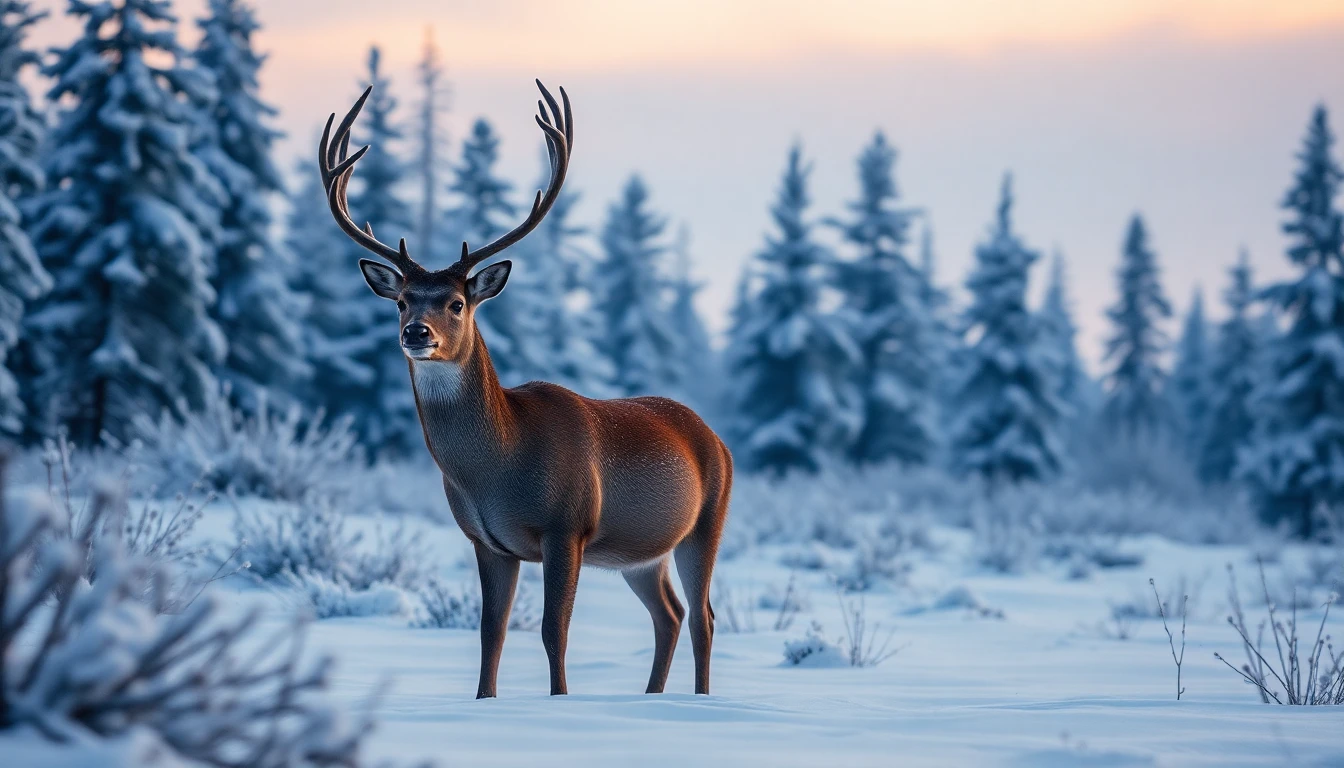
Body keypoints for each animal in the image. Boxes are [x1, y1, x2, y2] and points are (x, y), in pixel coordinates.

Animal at [317, 81, 732, 699]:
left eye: (456, 303)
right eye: (402, 301)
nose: (416, 333)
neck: (500, 464)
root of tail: (717, 439)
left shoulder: (568, 525)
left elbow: (551, 631)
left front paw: (558, 701)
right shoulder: (486, 540)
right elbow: (491, 633)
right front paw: (484, 701)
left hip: (707, 521)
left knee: (703, 616)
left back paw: (698, 700)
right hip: (640, 552)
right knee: (671, 613)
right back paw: (652, 696)